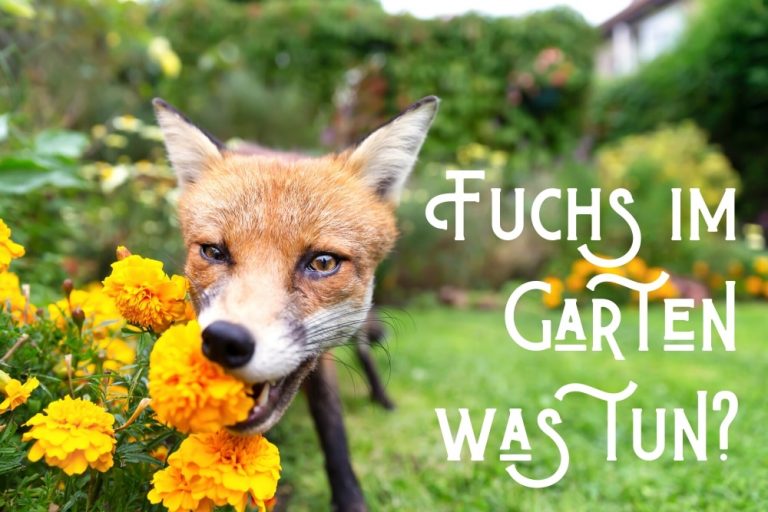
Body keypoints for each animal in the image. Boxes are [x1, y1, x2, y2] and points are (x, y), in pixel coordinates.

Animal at [152, 95, 439, 512]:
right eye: (214, 252)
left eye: (323, 263)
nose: (224, 341)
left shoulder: (323, 365)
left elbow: (331, 423)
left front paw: (350, 498)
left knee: (366, 350)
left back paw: (381, 398)